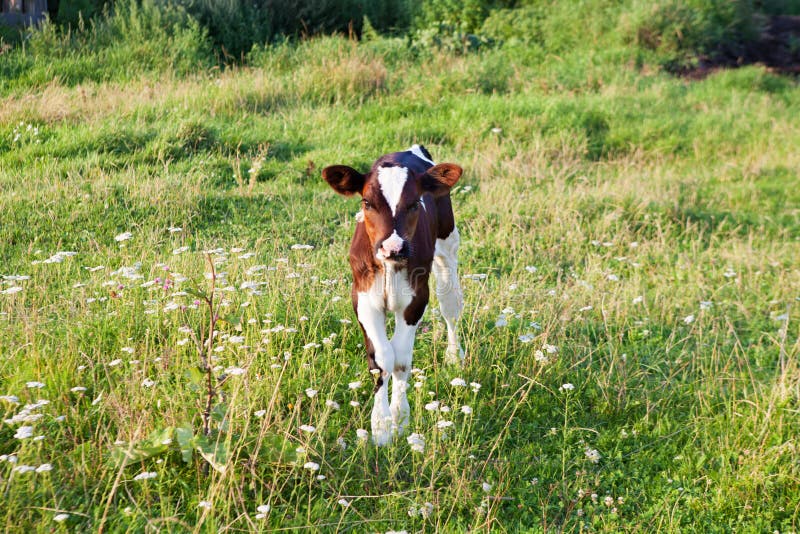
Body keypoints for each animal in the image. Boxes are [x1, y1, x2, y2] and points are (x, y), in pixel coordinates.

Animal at [322, 145, 466, 445]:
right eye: (366, 202)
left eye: (414, 204)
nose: (393, 248)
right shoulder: (364, 300)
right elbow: (381, 359)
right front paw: (381, 427)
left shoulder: (415, 300)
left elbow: (400, 359)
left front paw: (399, 419)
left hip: (448, 244)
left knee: (451, 306)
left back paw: (454, 355)